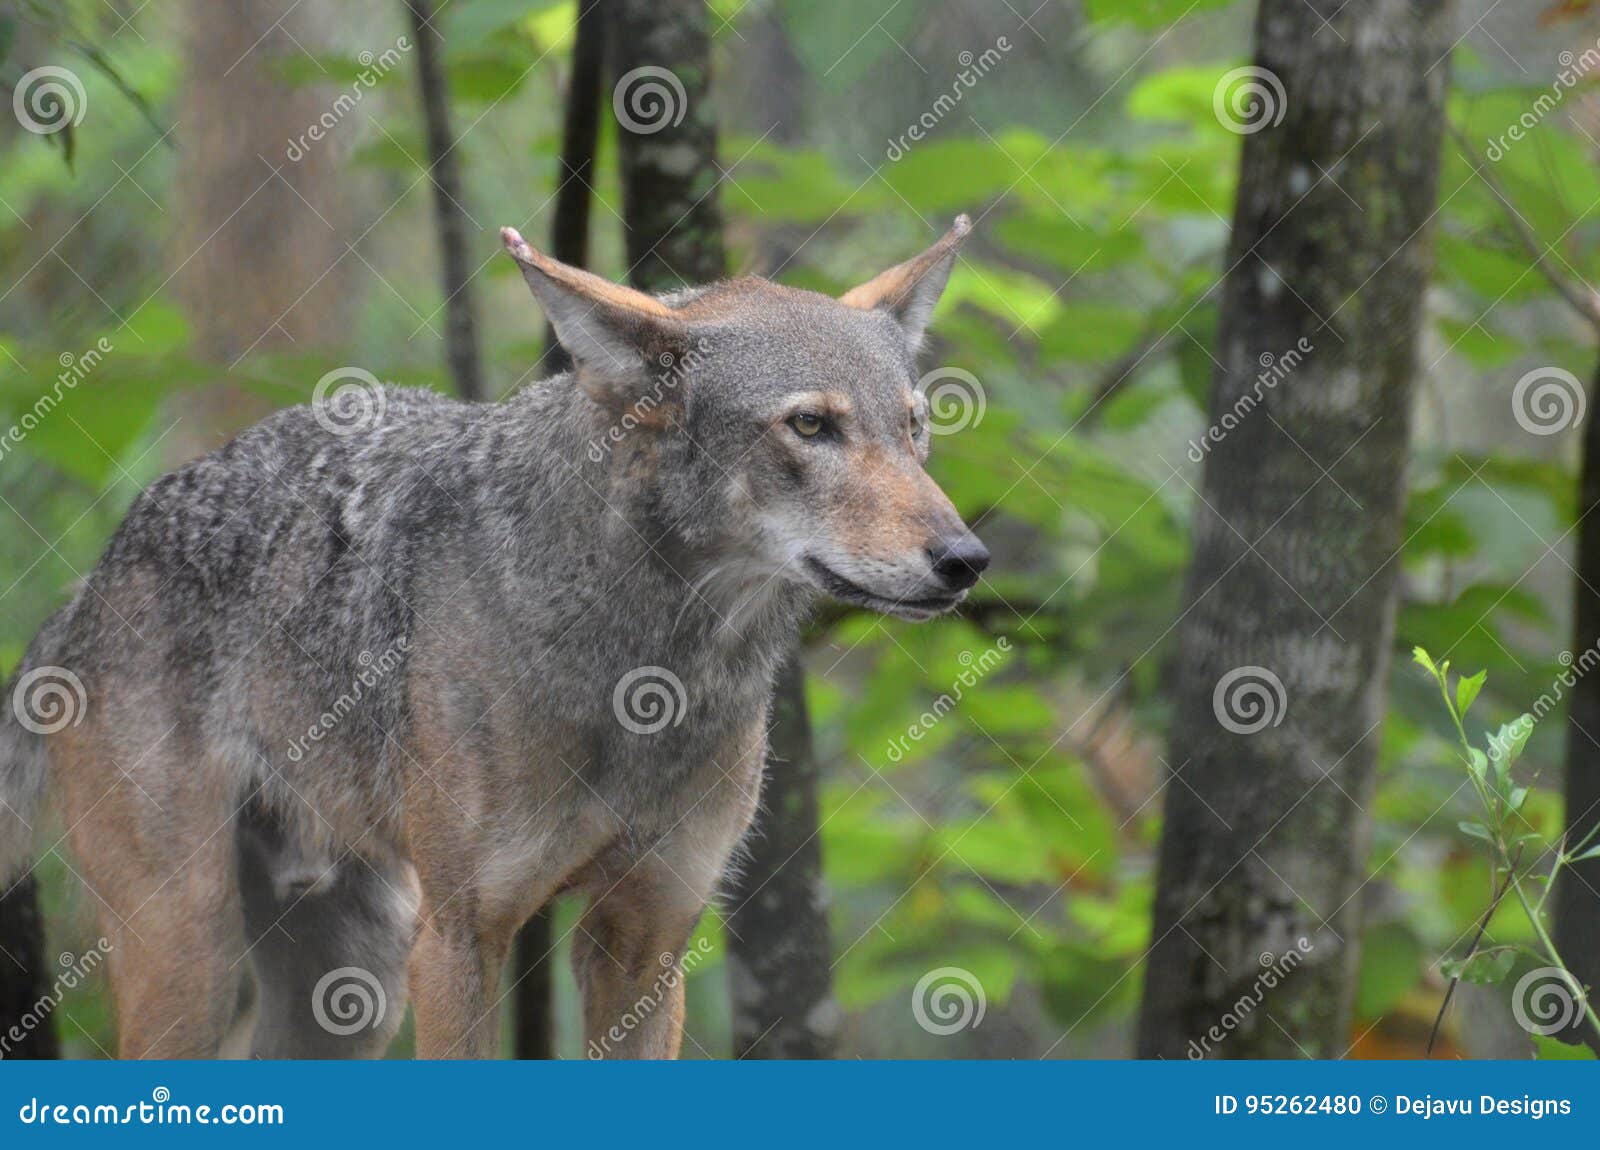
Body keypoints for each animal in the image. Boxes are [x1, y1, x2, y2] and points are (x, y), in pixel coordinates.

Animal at [0, 216, 988, 1059]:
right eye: (811, 425)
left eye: (915, 427)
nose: (967, 559)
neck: (650, 677)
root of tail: (89, 584)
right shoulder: (462, 938)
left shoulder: (647, 940)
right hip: (198, 960)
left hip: (351, 983)